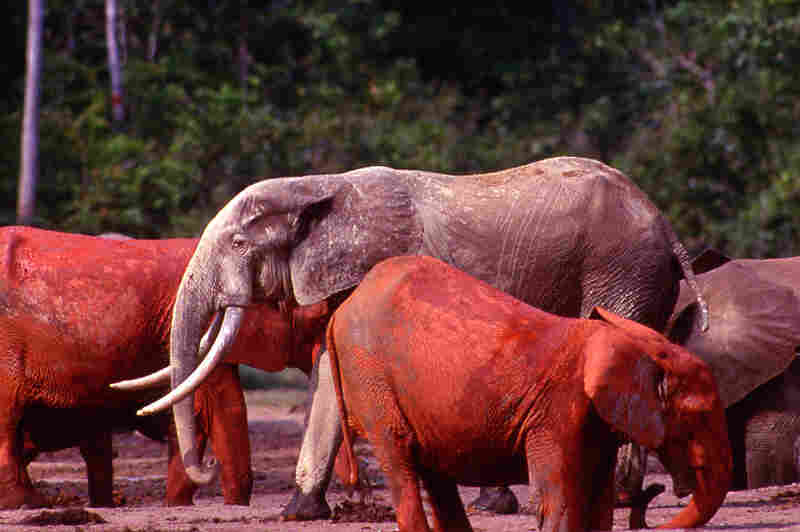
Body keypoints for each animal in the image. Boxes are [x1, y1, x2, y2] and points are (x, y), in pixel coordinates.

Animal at [0, 226, 332, 509]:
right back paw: (28, 503)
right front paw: (230, 502)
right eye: (317, 318)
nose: (210, 465)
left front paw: (179, 503)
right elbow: (223, 407)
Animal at [130, 156, 707, 520]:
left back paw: (619, 496)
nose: (204, 470)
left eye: (236, 243)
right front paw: (299, 511)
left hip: (624, 273)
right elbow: (329, 368)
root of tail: (665, 224)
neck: (318, 187)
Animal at [326, 255, 732, 532]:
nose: (662, 491)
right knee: (401, 460)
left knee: (432, 473)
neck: (635, 344)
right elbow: (561, 497)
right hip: (370, 376)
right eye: (696, 416)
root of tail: (346, 305)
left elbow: (597, 500)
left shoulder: (594, 419)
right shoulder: (557, 409)